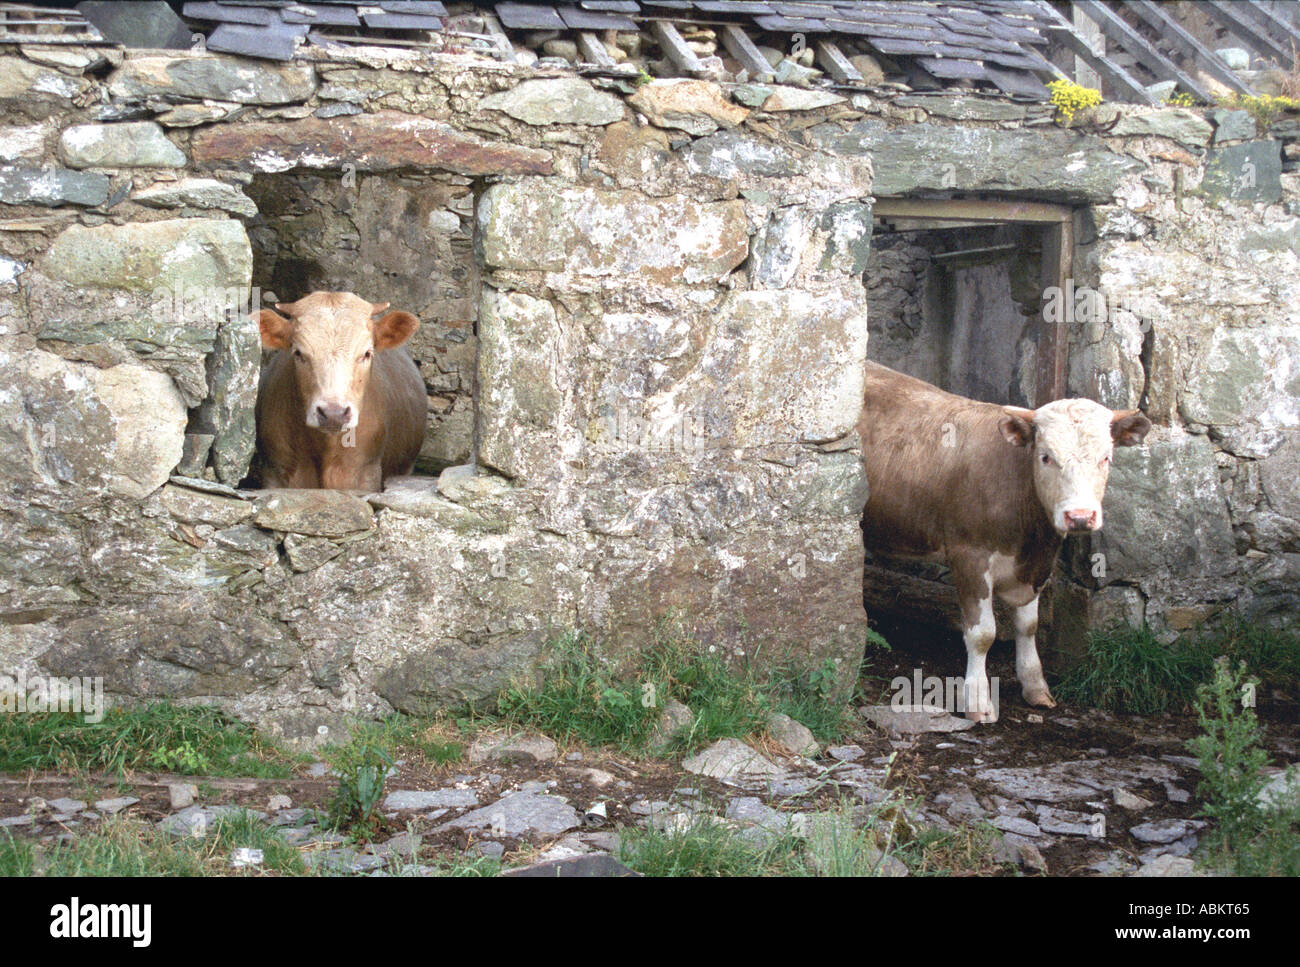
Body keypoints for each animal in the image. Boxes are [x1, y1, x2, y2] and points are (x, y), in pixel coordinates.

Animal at [858, 361, 1151, 723]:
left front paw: (1035, 686)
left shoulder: (1035, 567)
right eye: (1045, 456)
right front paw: (978, 702)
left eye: (1106, 457)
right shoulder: (969, 556)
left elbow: (1028, 626)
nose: (1080, 516)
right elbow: (983, 634)